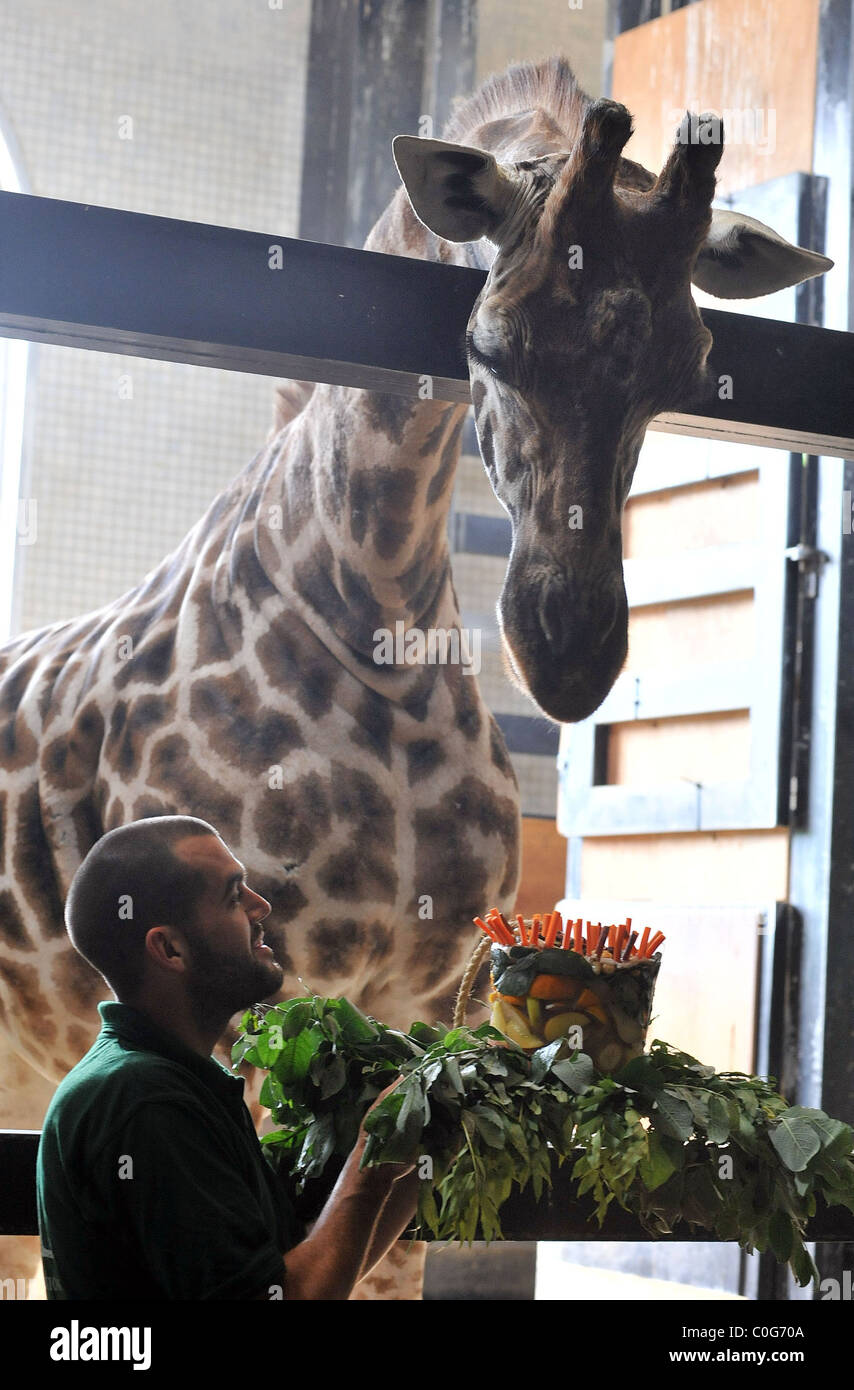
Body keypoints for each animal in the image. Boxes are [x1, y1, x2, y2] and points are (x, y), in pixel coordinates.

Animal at [0, 56, 831, 1301]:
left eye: (685, 371)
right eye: (484, 344)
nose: (568, 653)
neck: (368, 616)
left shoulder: (419, 1006)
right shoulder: (276, 1014)